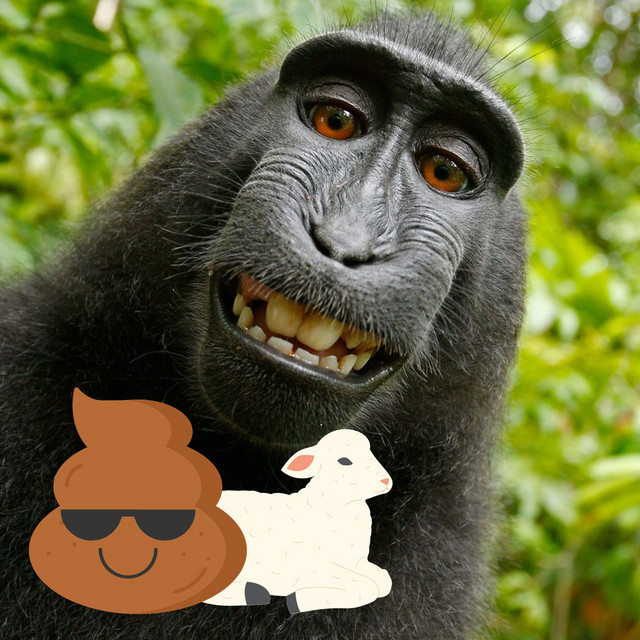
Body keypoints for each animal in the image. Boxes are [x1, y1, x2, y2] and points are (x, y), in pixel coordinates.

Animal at [204, 429, 393, 614]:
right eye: (344, 461)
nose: (385, 481)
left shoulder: (356, 563)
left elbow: (384, 580)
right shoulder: (317, 568)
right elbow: (367, 587)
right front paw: (297, 600)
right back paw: (252, 592)